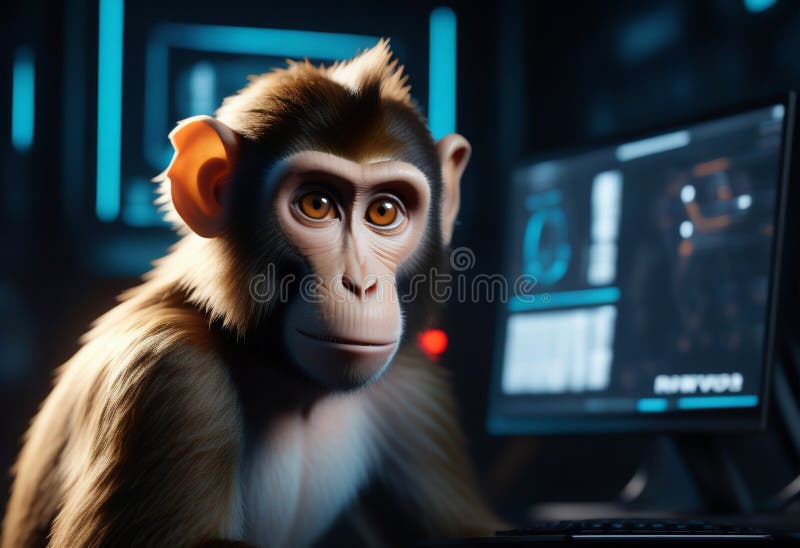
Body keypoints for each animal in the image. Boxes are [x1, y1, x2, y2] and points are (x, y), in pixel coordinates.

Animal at [1, 40, 504, 547]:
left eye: (384, 211)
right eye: (316, 204)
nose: (360, 283)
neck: (287, 381)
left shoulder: (414, 390)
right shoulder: (168, 378)